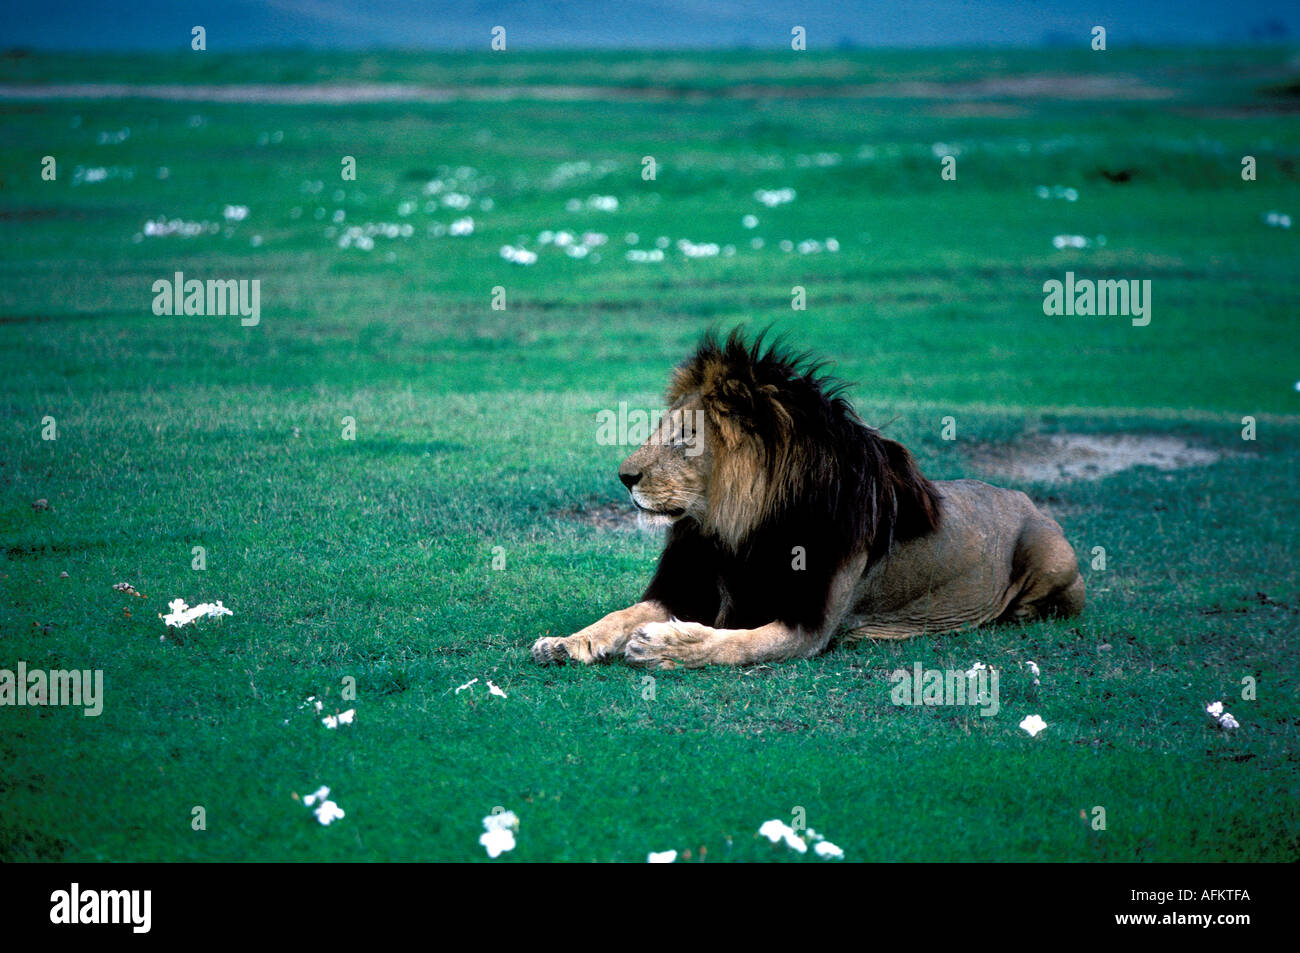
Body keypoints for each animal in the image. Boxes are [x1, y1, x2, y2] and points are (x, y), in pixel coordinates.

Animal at [532, 330, 1084, 670]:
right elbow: (619, 615)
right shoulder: (686, 588)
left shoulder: (810, 625)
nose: (623, 477)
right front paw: (565, 641)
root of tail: (1026, 499)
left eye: (685, 437)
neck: (740, 527)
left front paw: (667, 645)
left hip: (1051, 554)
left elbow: (738, 644)